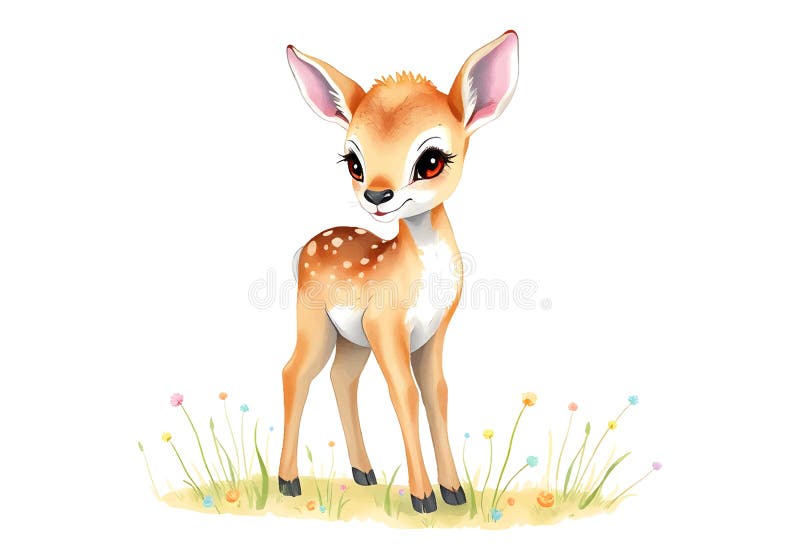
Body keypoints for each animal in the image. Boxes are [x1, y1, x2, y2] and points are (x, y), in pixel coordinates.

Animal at [279, 30, 519, 513]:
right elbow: (404, 393)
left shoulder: (433, 332)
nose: (376, 195)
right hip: (315, 321)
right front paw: (424, 498)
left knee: (341, 378)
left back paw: (364, 473)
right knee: (295, 373)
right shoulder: (385, 324)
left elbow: (436, 393)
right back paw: (288, 482)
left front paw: (454, 492)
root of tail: (302, 250)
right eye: (354, 162)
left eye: (431, 160)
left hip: (353, 338)